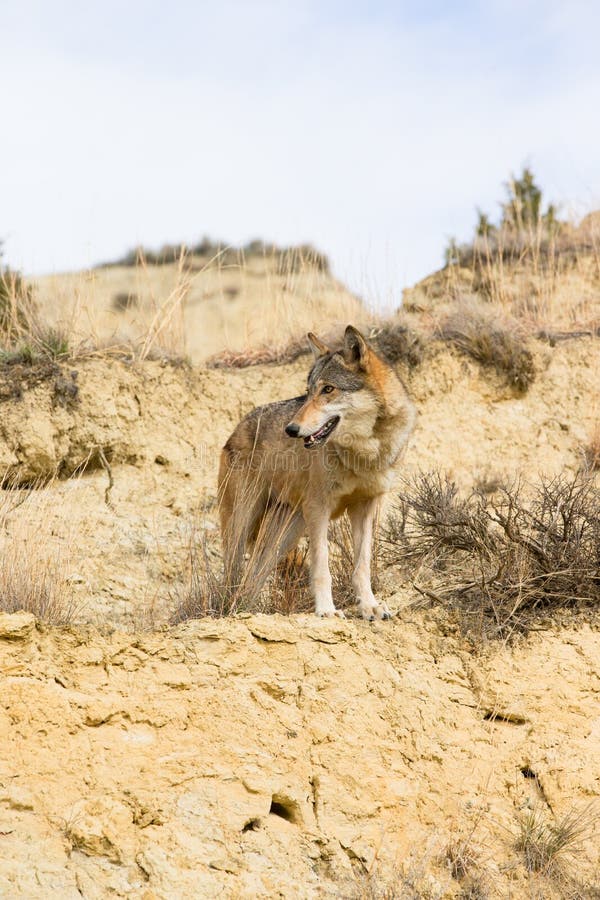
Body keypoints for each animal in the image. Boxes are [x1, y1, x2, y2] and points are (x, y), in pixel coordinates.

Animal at [218, 325, 415, 619]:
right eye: (308, 391)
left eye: (328, 389)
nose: (291, 429)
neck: (363, 454)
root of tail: (236, 428)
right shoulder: (319, 509)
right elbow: (322, 568)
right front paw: (326, 610)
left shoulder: (365, 507)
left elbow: (362, 566)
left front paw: (369, 606)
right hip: (241, 528)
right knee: (231, 577)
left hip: (285, 536)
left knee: (254, 578)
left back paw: (247, 611)